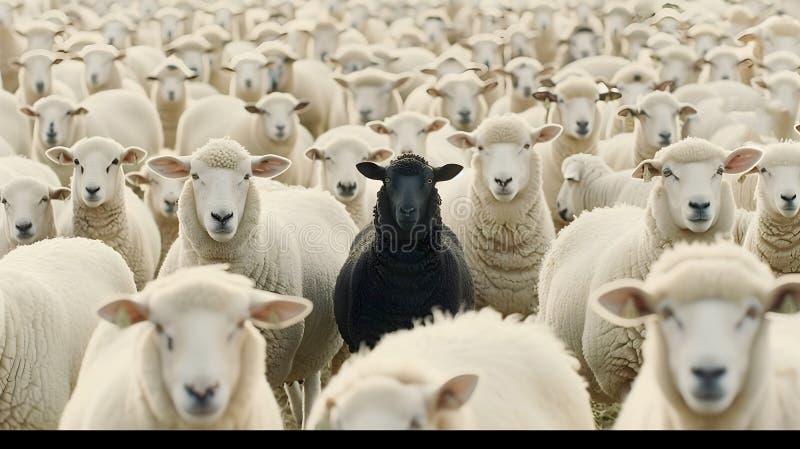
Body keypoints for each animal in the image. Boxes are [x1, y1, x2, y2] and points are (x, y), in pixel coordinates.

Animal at [149, 138, 358, 425]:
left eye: (246, 176)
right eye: (195, 176)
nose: (222, 217)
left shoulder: (269, 362)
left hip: (324, 345)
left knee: (314, 381)